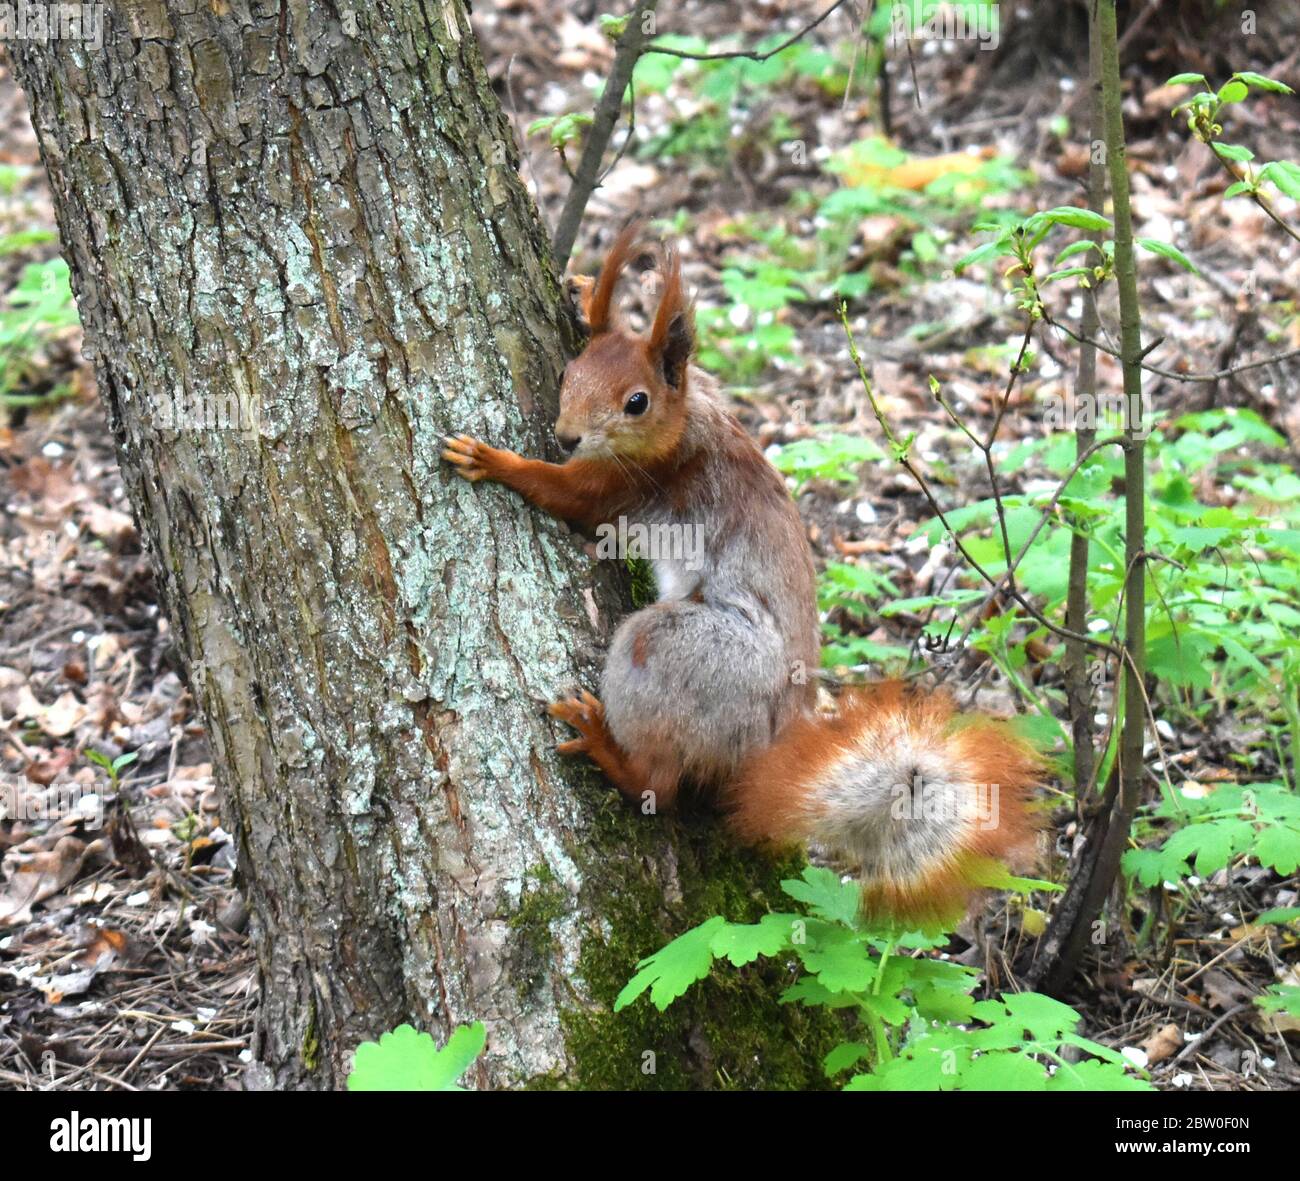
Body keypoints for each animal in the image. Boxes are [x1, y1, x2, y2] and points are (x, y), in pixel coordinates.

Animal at [443, 227, 1040, 928]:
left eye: (636, 402)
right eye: (568, 372)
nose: (564, 437)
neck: (686, 420)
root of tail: (765, 749)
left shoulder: (623, 486)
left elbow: (563, 494)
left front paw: (492, 460)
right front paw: (587, 293)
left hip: (681, 654)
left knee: (660, 783)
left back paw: (605, 745)